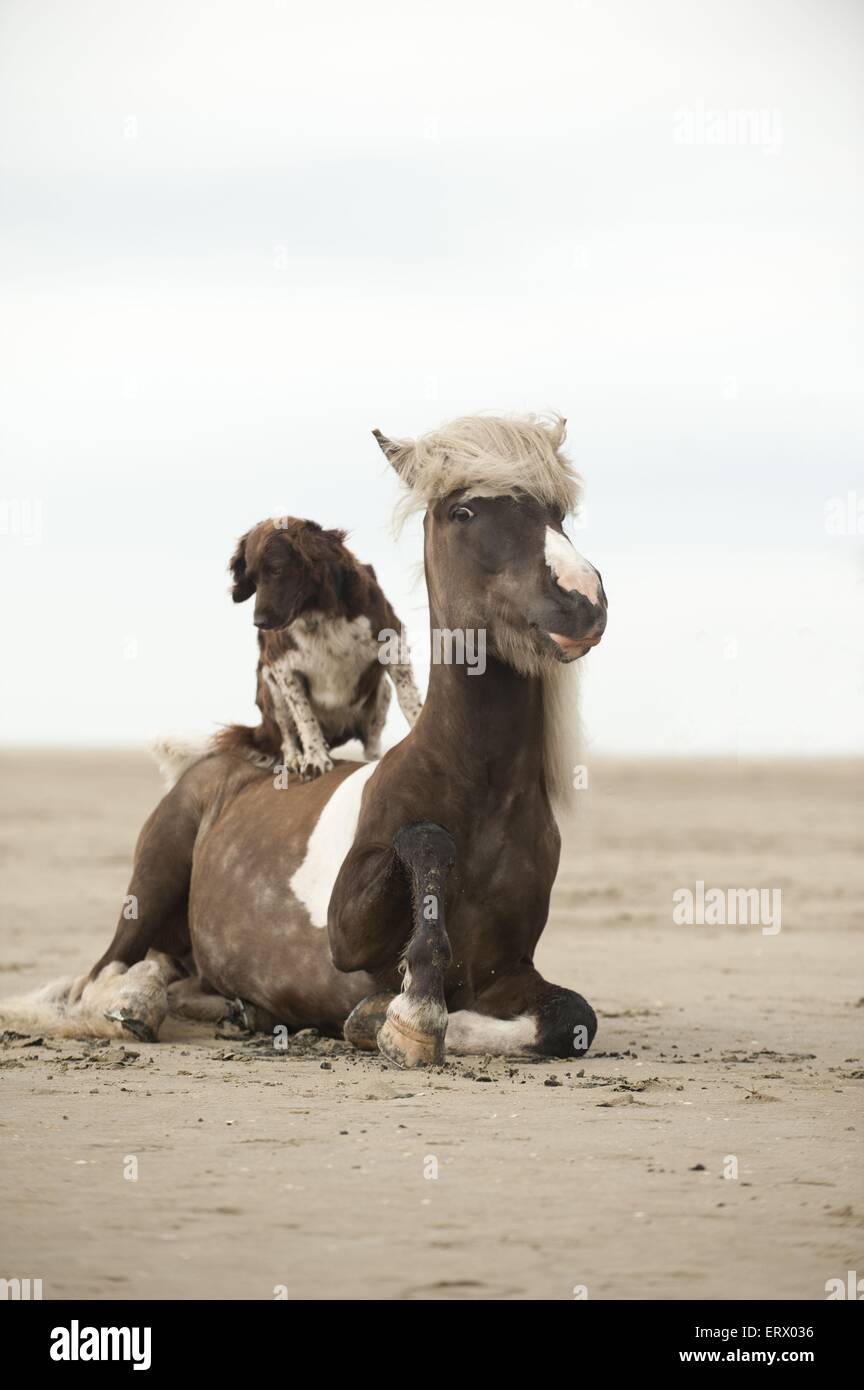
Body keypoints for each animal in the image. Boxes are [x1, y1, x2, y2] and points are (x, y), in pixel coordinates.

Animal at [5, 414, 607, 1067]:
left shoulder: (508, 971)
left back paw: (236, 1012)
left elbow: (572, 1016)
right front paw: (407, 1017)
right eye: (463, 511)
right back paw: (137, 1005)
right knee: (104, 975)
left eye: (557, 512)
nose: (582, 600)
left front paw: (388, 1017)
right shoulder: (348, 930)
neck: (478, 787)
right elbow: (426, 841)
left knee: (175, 976)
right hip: (150, 885)